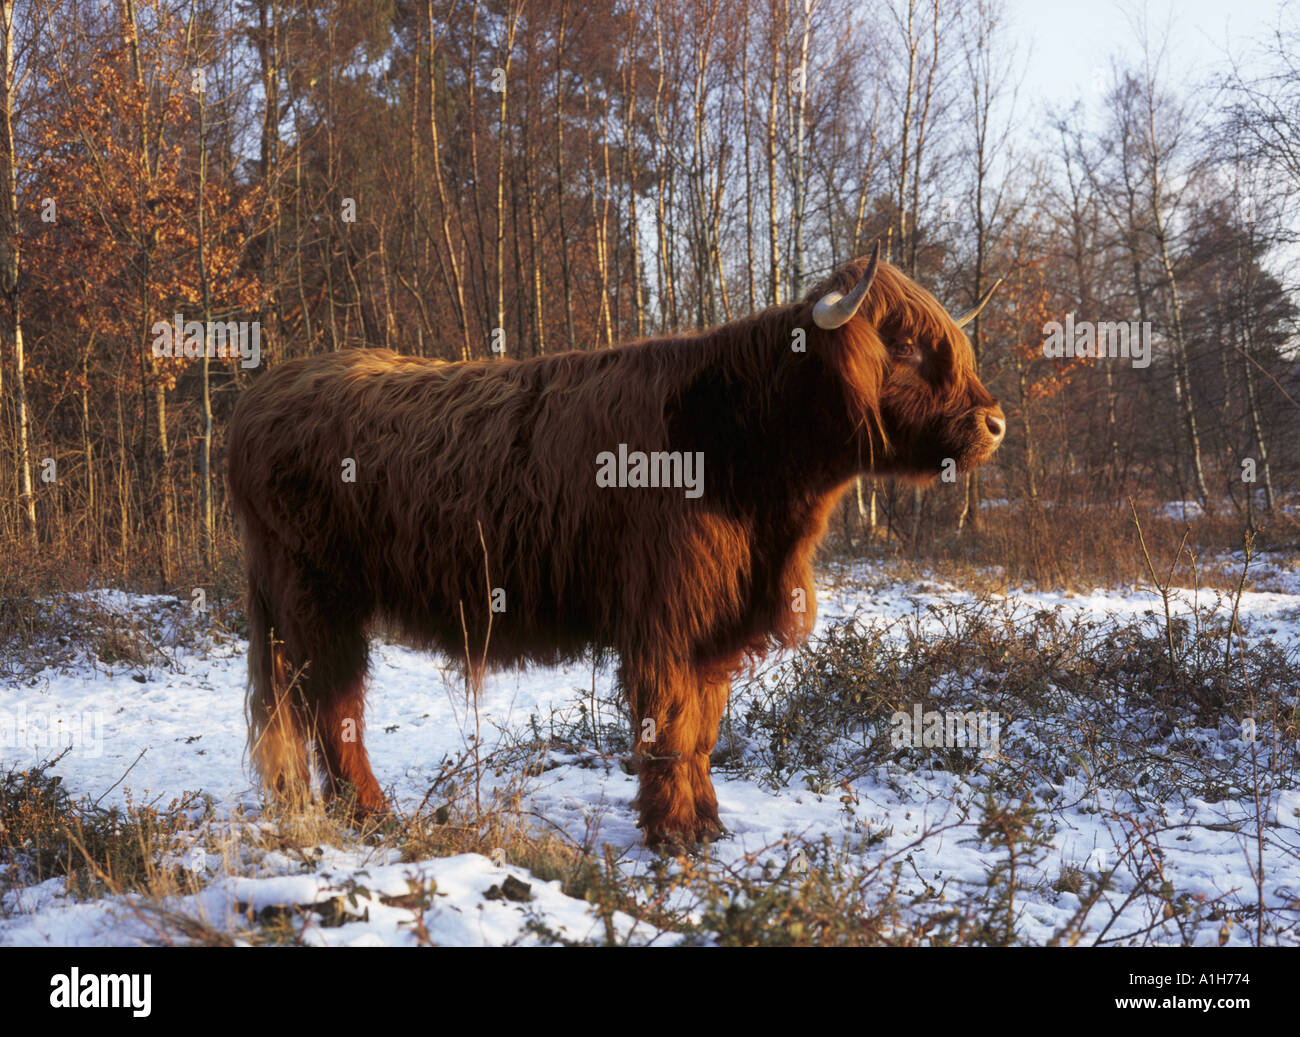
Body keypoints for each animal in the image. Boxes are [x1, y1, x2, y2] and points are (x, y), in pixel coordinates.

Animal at [226, 243, 1005, 847]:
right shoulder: (665, 611)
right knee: (333, 705)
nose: (994, 422)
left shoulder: (714, 619)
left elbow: (703, 728)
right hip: (315, 593)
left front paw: (707, 823)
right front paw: (674, 832)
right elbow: (671, 725)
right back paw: (371, 815)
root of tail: (263, 395)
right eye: (906, 346)